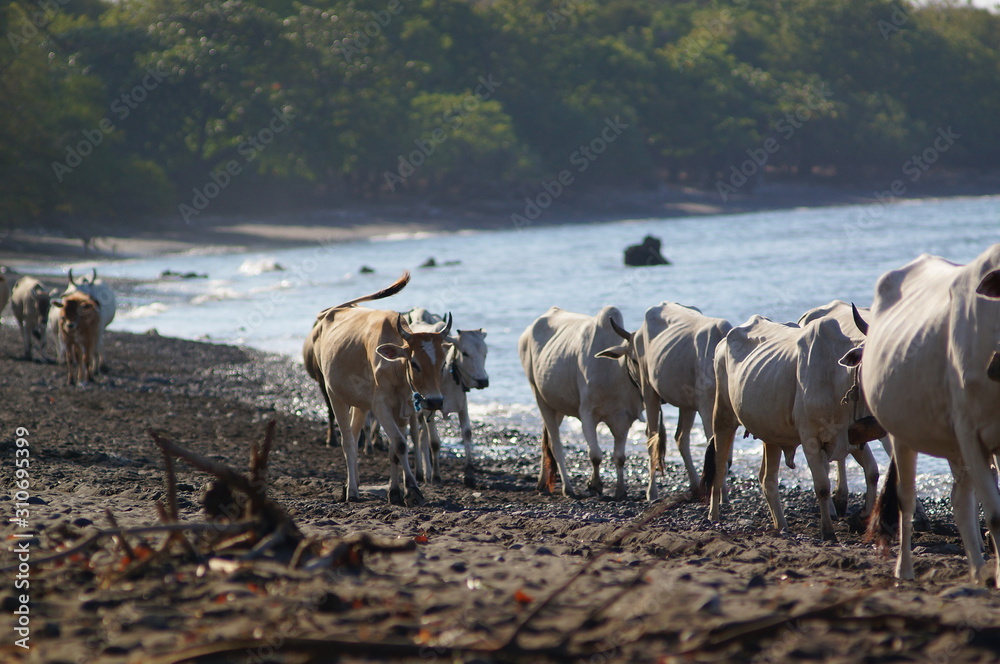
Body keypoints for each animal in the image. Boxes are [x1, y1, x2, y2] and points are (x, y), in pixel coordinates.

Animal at [305, 271, 452, 506]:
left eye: (442, 363)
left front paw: (395, 492)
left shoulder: (403, 409)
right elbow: (400, 444)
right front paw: (413, 489)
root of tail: (331, 312)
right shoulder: (381, 406)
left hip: (360, 404)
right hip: (335, 396)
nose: (435, 401)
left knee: (355, 434)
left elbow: (394, 450)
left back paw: (349, 485)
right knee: (348, 442)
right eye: (414, 363)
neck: (396, 370)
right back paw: (352, 492)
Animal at [402, 309, 489, 488]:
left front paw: (469, 475)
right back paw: (422, 473)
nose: (483, 381)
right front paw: (436, 476)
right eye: (465, 353)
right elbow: (434, 443)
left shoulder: (463, 405)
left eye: (485, 353)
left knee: (422, 437)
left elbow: (467, 433)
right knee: (416, 435)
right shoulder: (430, 407)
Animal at [519, 306, 643, 500]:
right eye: (635, 359)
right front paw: (595, 484)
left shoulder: (624, 420)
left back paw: (542, 484)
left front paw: (621, 490)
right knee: (555, 445)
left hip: (558, 405)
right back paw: (568, 488)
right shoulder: (587, 415)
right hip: (540, 397)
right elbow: (595, 454)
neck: (614, 372)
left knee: (546, 441)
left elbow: (620, 457)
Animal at [633, 302, 731, 500]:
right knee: (652, 436)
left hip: (687, 402)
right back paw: (652, 492)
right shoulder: (707, 408)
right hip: (648, 387)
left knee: (681, 437)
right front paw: (721, 495)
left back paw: (694, 485)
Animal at [705, 314, 877, 541]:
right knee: (719, 465)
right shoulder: (810, 439)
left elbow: (872, 473)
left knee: (767, 479)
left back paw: (781, 525)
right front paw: (828, 532)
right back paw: (714, 516)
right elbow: (822, 487)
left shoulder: (854, 438)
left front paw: (864, 518)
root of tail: (723, 342)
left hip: (770, 433)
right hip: (723, 416)